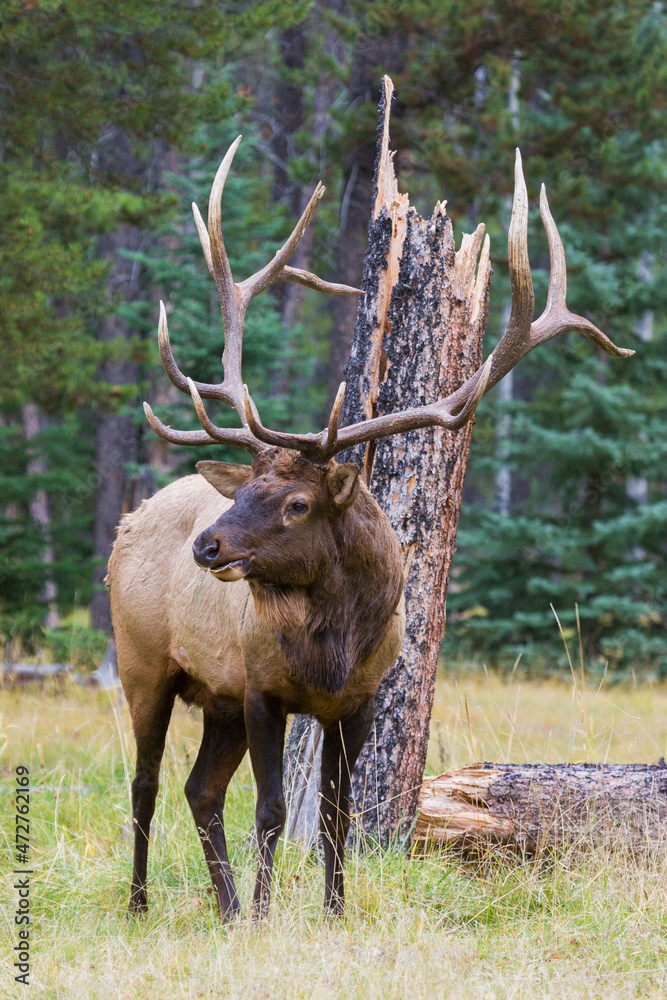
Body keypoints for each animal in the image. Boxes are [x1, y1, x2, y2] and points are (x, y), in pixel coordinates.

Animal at [107, 135, 632, 922]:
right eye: (250, 488)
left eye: (296, 503)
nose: (209, 544)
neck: (332, 645)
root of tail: (130, 519)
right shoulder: (262, 689)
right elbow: (270, 810)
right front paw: (267, 917)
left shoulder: (352, 701)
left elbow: (336, 813)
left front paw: (330, 912)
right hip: (144, 662)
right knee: (145, 783)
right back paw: (144, 904)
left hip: (216, 697)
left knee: (198, 789)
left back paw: (222, 908)